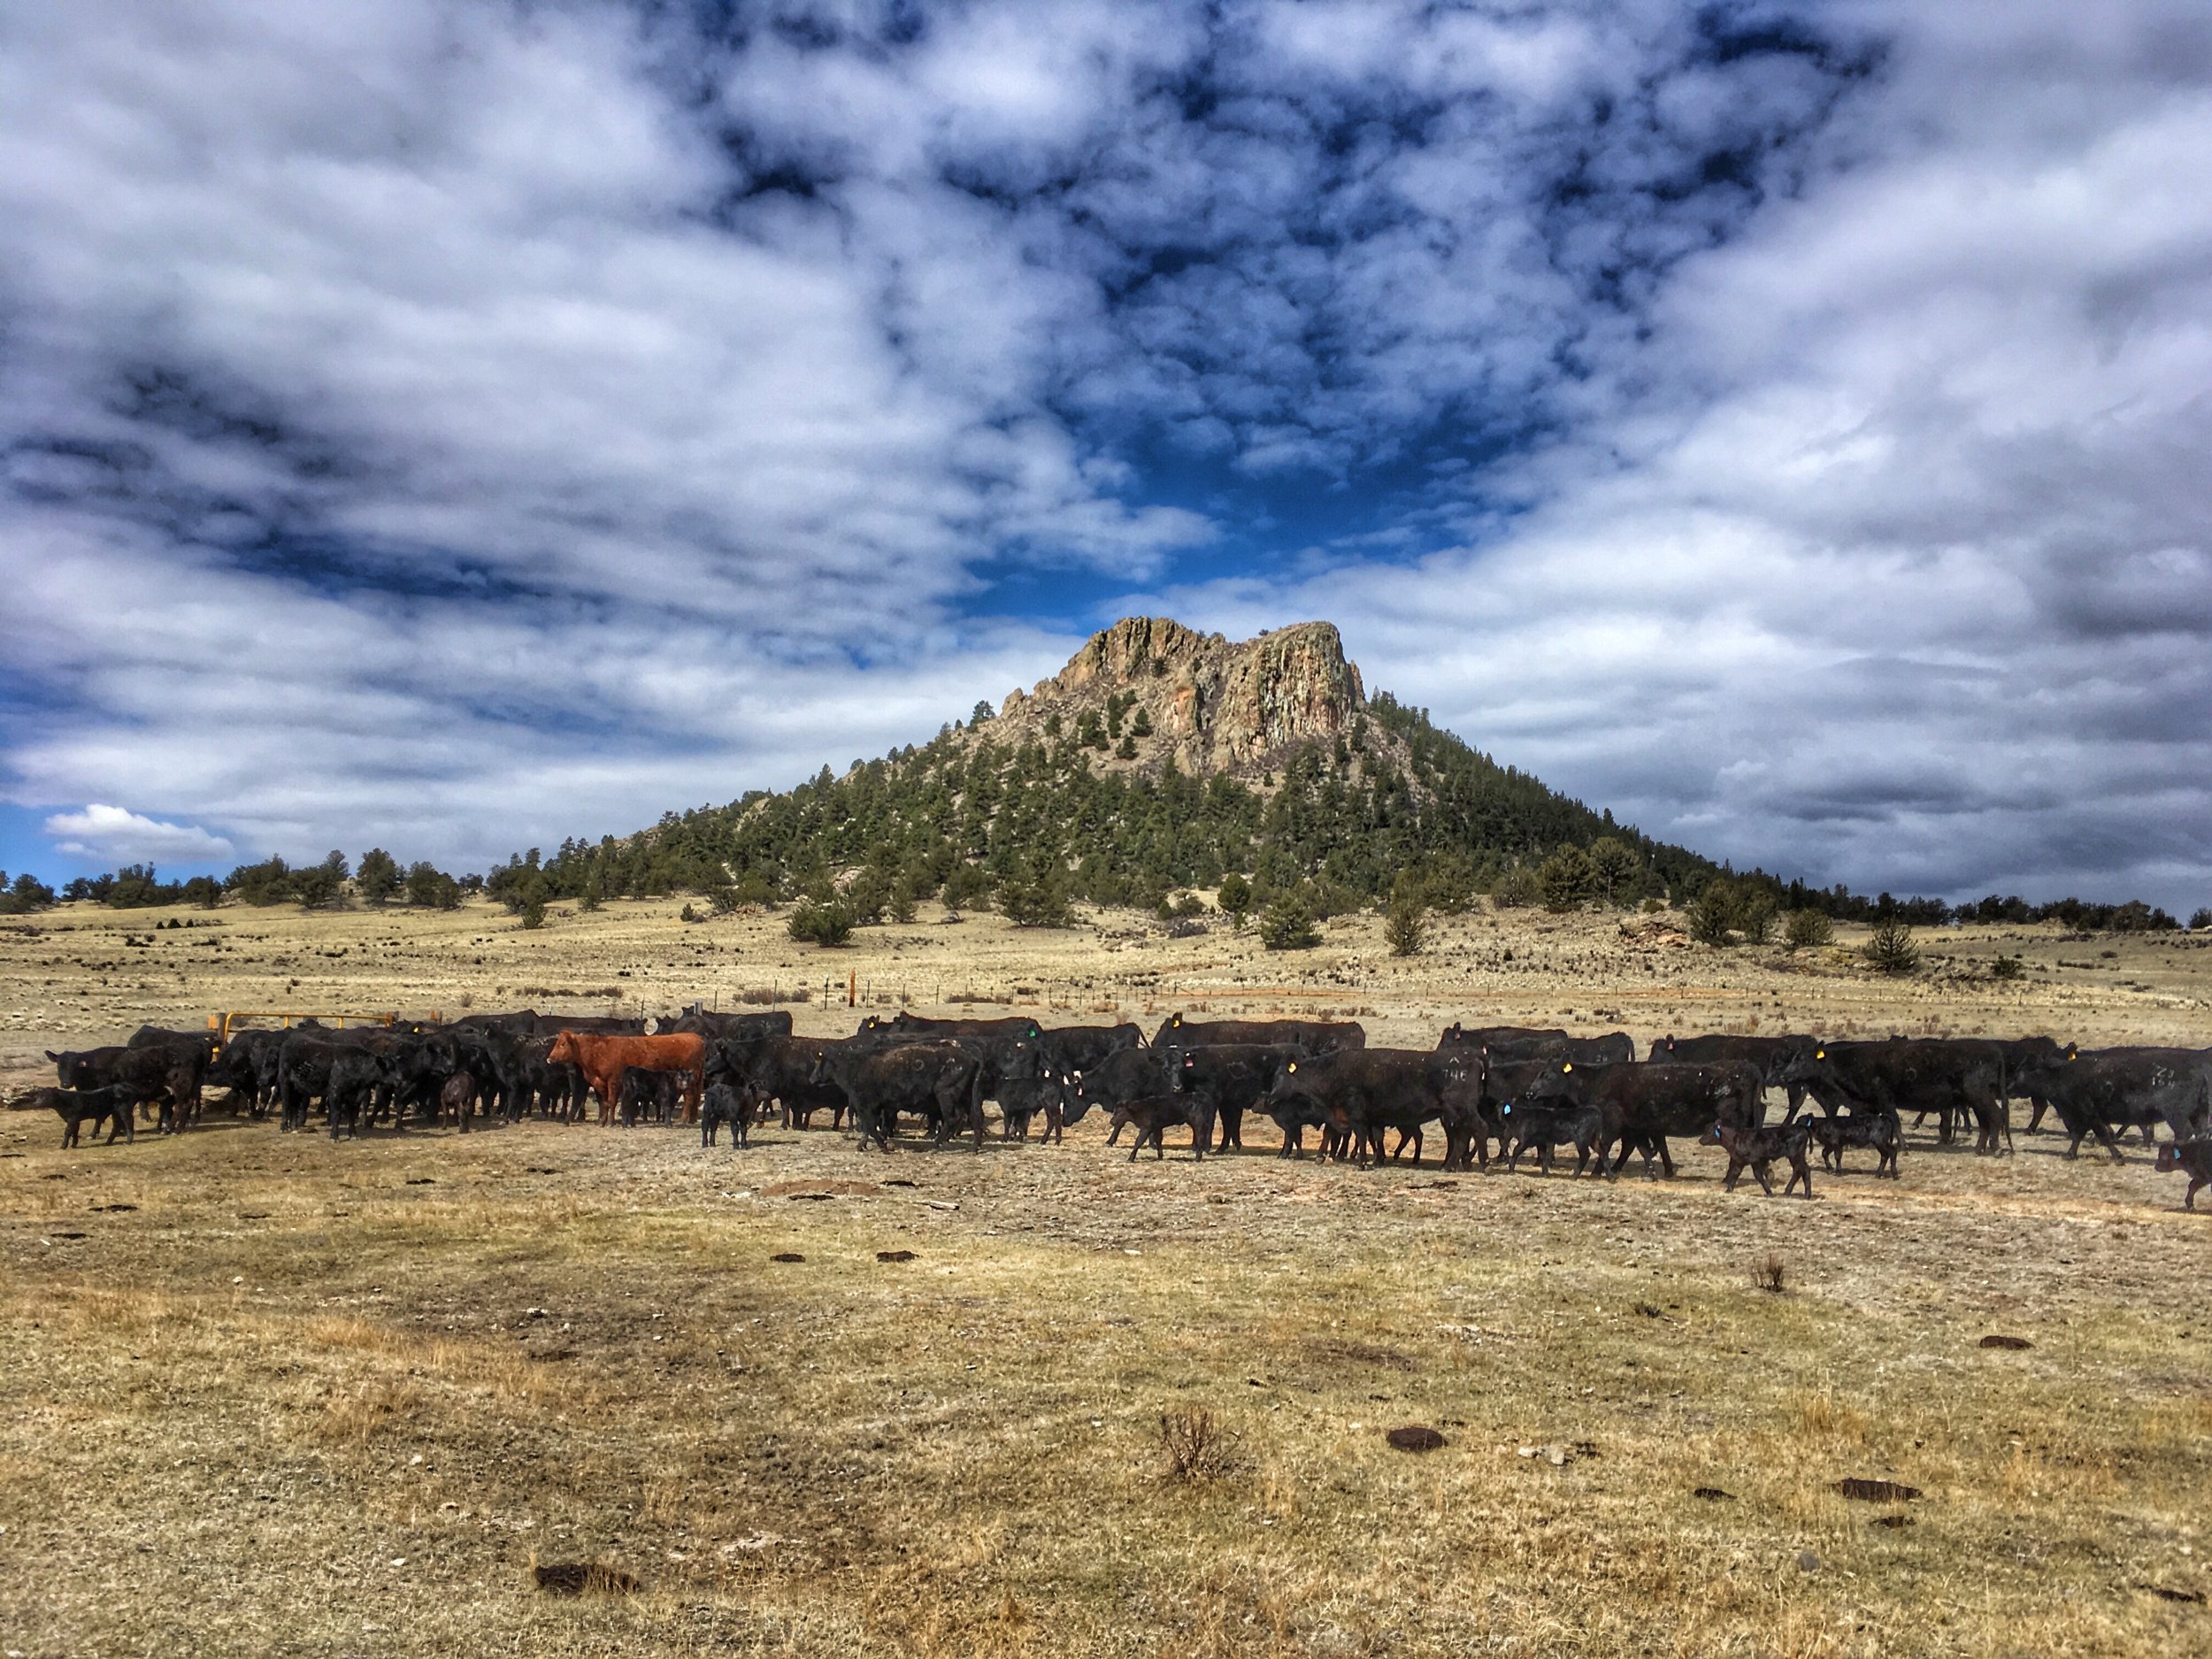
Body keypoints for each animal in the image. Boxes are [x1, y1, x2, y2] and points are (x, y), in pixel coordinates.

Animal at [547, 1030, 706, 1126]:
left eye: (562, 1044)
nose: (549, 1059)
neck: (599, 1051)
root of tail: (695, 1037)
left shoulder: (613, 1082)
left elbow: (611, 1102)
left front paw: (610, 1122)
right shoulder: (600, 1083)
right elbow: (604, 1103)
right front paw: (601, 1121)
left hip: (687, 1081)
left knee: (689, 1097)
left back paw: (683, 1119)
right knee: (696, 1097)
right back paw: (692, 1119)